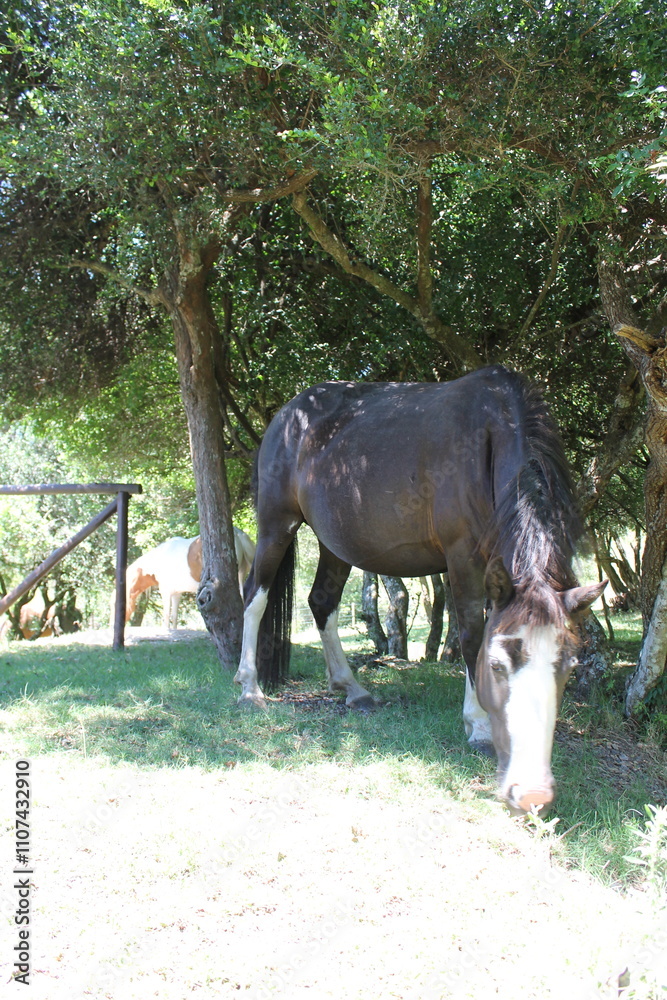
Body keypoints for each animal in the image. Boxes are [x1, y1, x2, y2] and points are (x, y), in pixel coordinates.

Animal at [122, 527, 255, 630]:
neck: (159, 560)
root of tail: (238, 533)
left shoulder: (165, 592)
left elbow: (166, 615)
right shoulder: (176, 594)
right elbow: (174, 615)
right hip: (241, 575)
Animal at [235, 366, 606, 815]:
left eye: (569, 665)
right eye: (497, 666)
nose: (531, 794)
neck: (489, 432)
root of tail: (286, 416)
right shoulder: (464, 559)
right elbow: (471, 636)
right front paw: (478, 725)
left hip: (333, 544)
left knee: (322, 602)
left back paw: (352, 688)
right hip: (277, 525)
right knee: (255, 598)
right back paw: (250, 688)